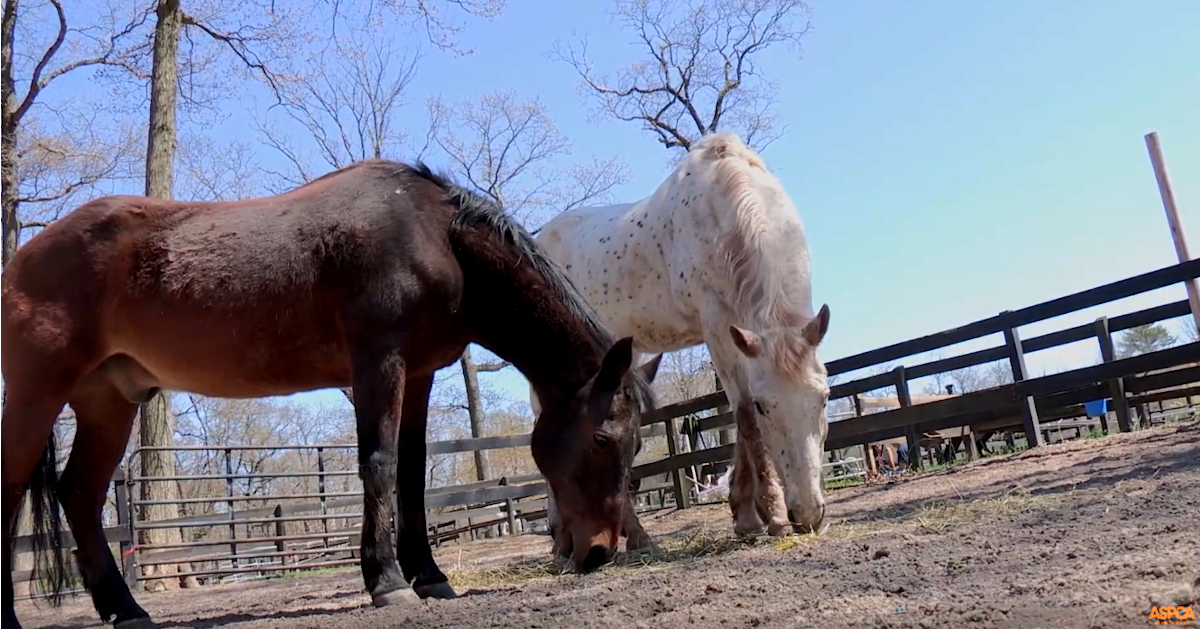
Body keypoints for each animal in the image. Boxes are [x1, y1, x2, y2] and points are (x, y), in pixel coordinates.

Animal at [1, 159, 658, 628]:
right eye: (603, 438)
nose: (600, 552)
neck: (432, 235)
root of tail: (24, 258)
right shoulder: (377, 363)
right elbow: (379, 466)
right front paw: (388, 582)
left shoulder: (418, 373)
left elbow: (411, 474)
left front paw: (429, 577)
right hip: (38, 393)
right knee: (15, 491)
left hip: (108, 401)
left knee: (80, 494)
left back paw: (128, 611)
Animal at [532, 132, 832, 546]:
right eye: (764, 407)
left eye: (825, 398)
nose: (808, 514)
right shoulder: (717, 323)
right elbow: (742, 416)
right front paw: (767, 516)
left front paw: (745, 514)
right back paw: (571, 538)